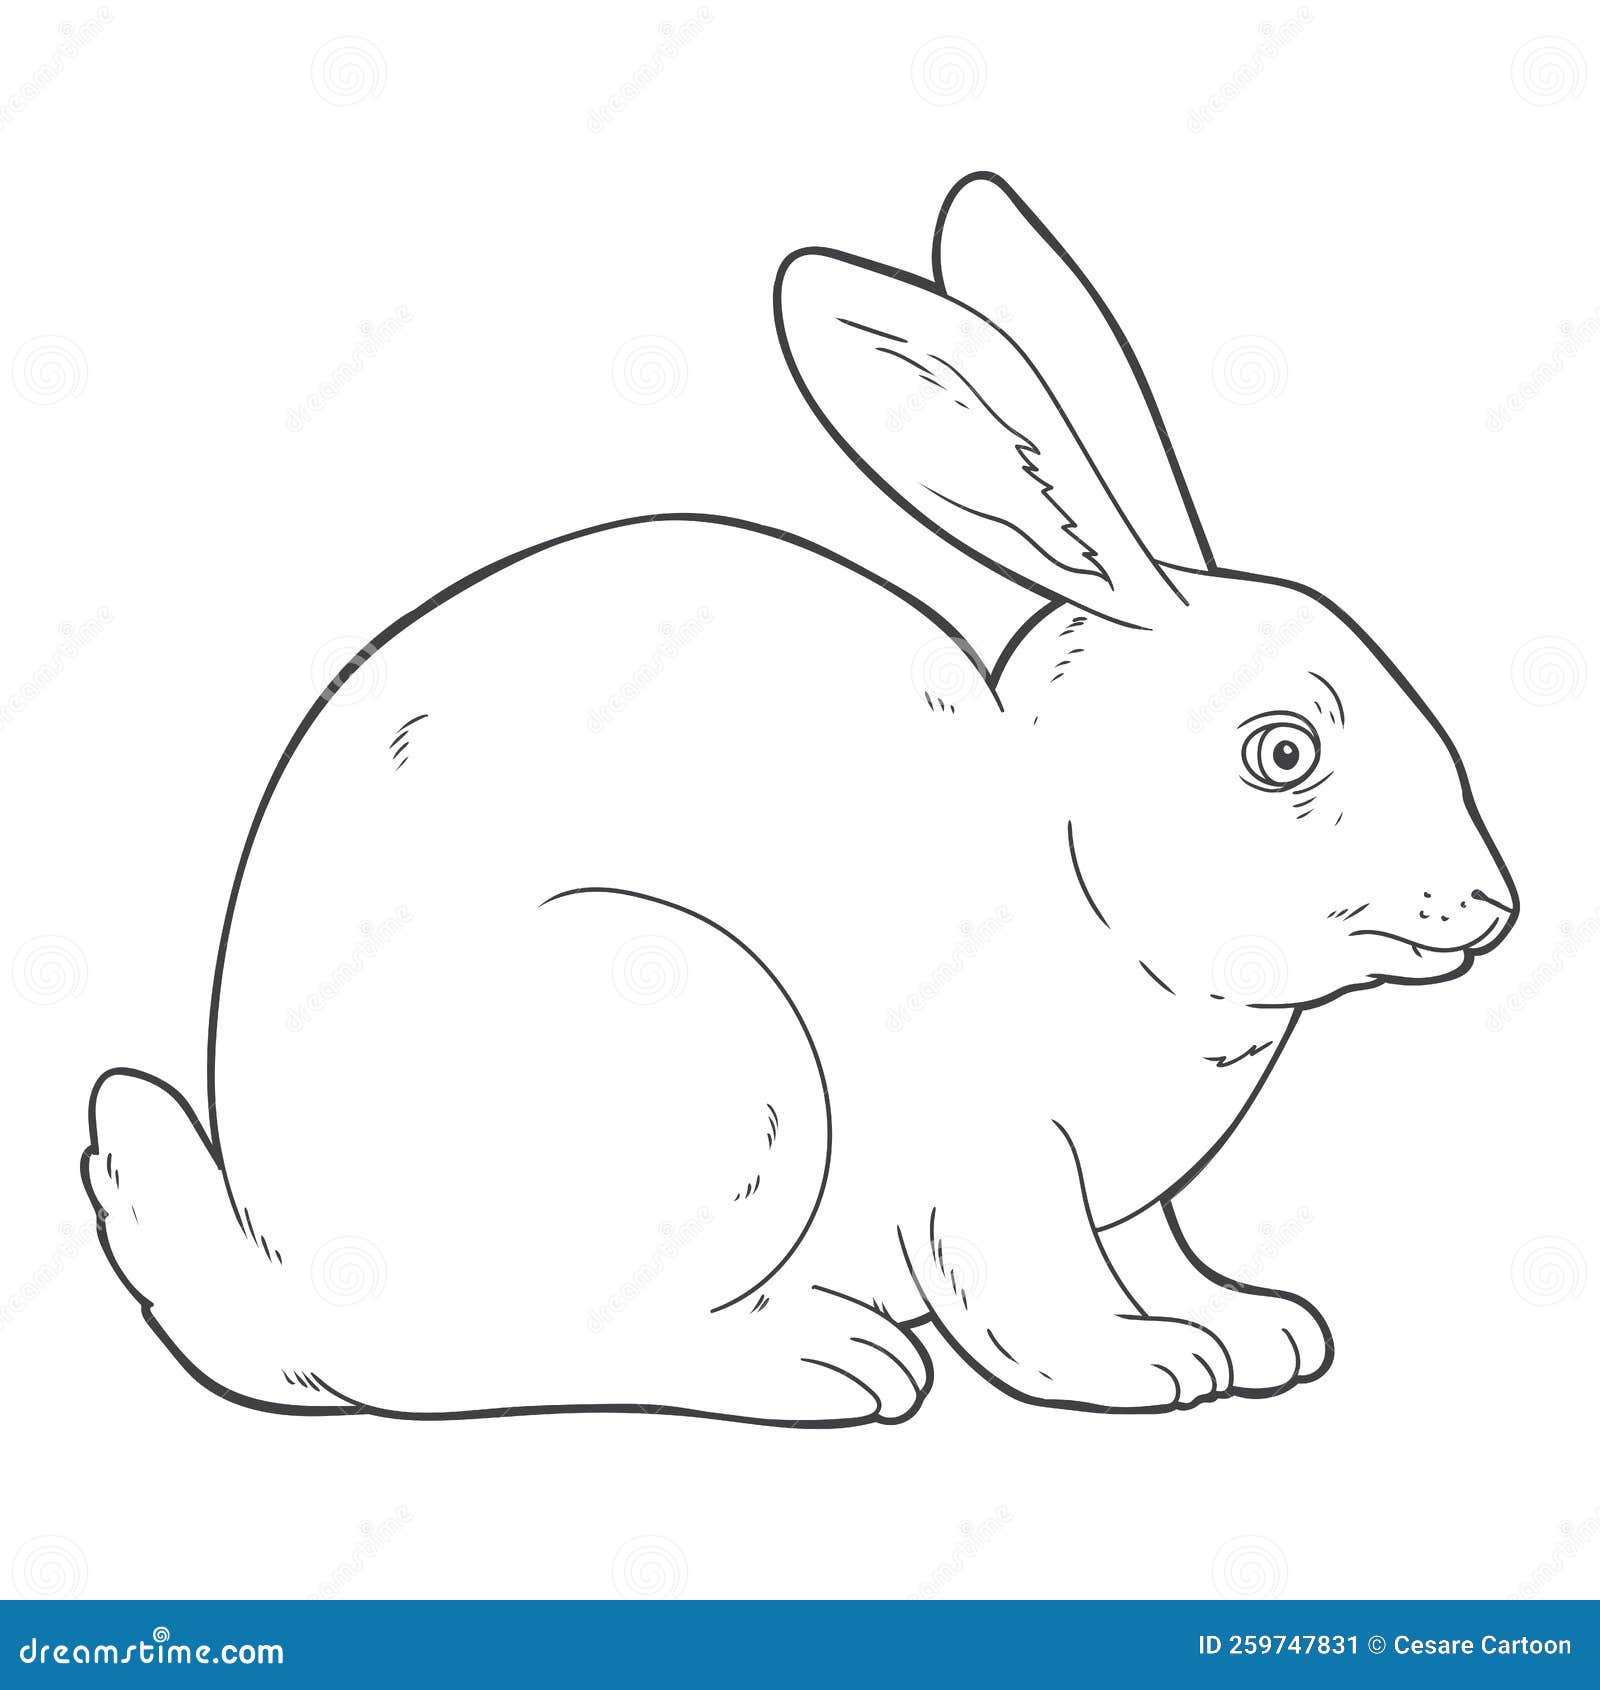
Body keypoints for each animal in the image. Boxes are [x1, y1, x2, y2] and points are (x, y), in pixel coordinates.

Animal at [84, 173, 1517, 1426]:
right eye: (1282, 753)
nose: (1490, 909)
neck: (1082, 889)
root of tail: (291, 1299)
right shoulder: (998, 1161)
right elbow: (1035, 1292)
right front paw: (1148, 1366)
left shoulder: (1129, 1195)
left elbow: (1158, 1251)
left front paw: (1253, 1332)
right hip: (696, 1063)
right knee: (524, 1355)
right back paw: (827, 1365)